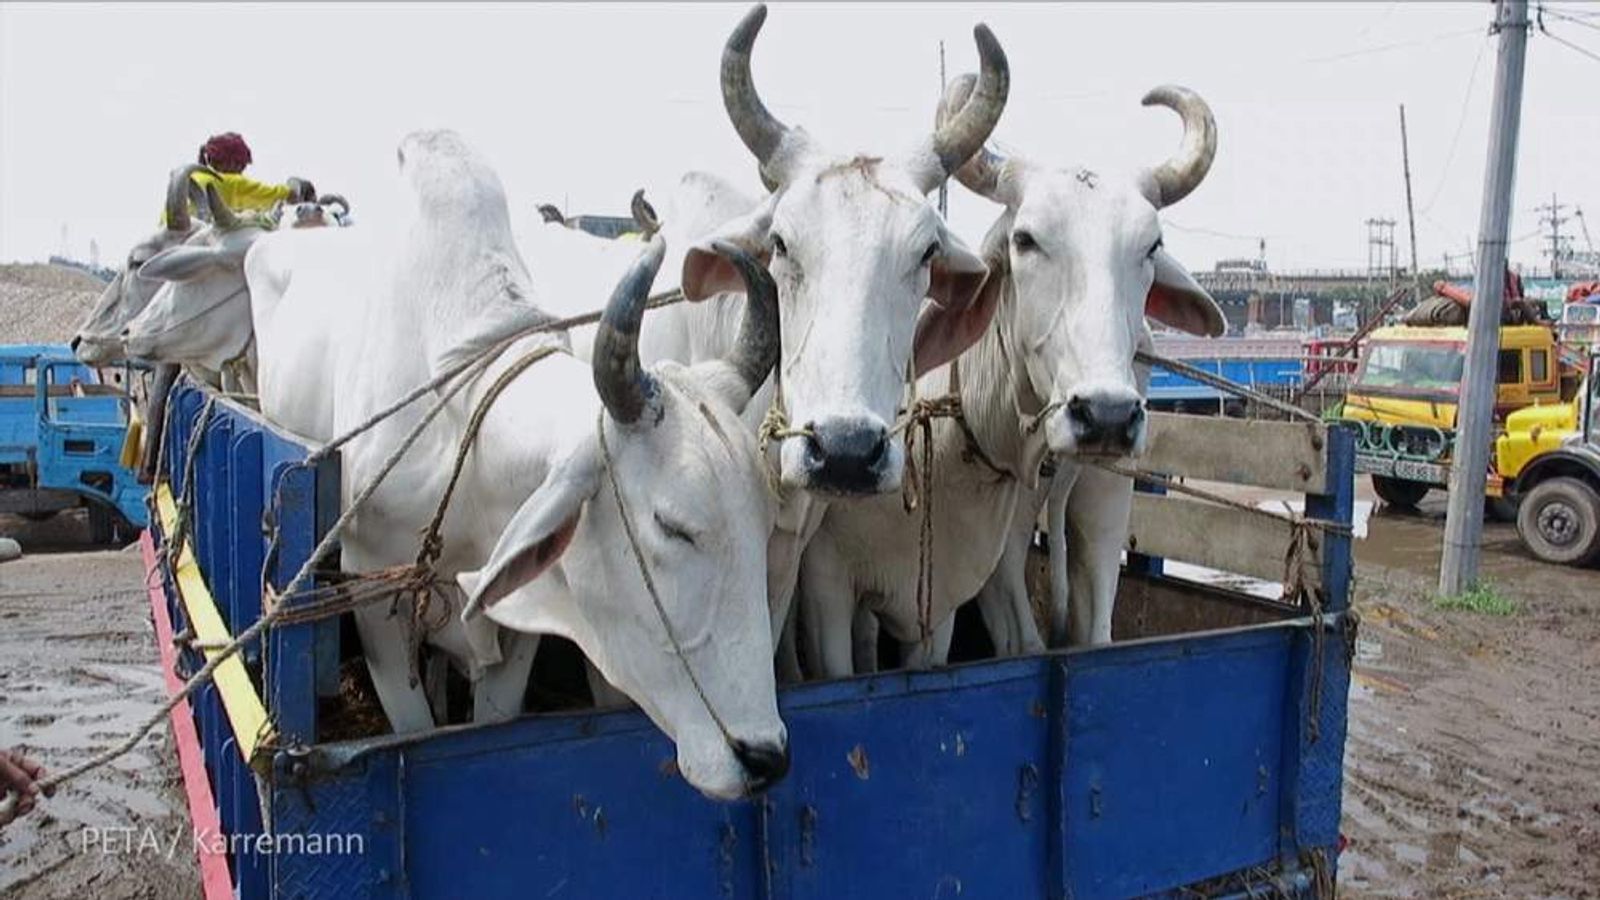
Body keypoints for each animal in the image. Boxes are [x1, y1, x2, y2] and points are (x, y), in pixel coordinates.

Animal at [244, 129, 789, 800]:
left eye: (762, 526)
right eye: (672, 526)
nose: (765, 757)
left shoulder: (525, 612)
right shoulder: (372, 594)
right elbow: (414, 724)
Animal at [797, 75, 1226, 676]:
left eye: (1151, 246)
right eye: (1025, 240)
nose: (1107, 414)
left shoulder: (957, 591)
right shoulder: (826, 585)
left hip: (1101, 492)